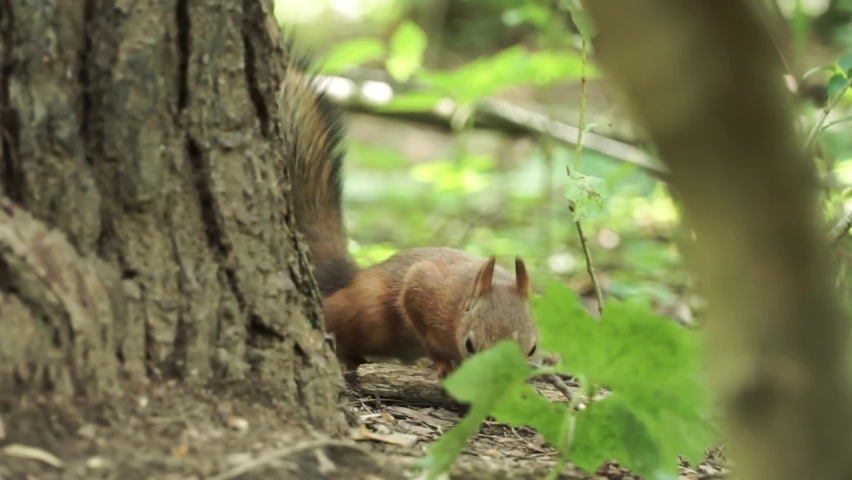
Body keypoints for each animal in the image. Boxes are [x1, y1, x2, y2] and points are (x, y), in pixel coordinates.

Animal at [281, 42, 539, 379]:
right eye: (470, 345)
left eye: (533, 348)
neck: (462, 298)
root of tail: (352, 279)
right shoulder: (423, 286)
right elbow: (421, 323)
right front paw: (443, 363)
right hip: (366, 309)